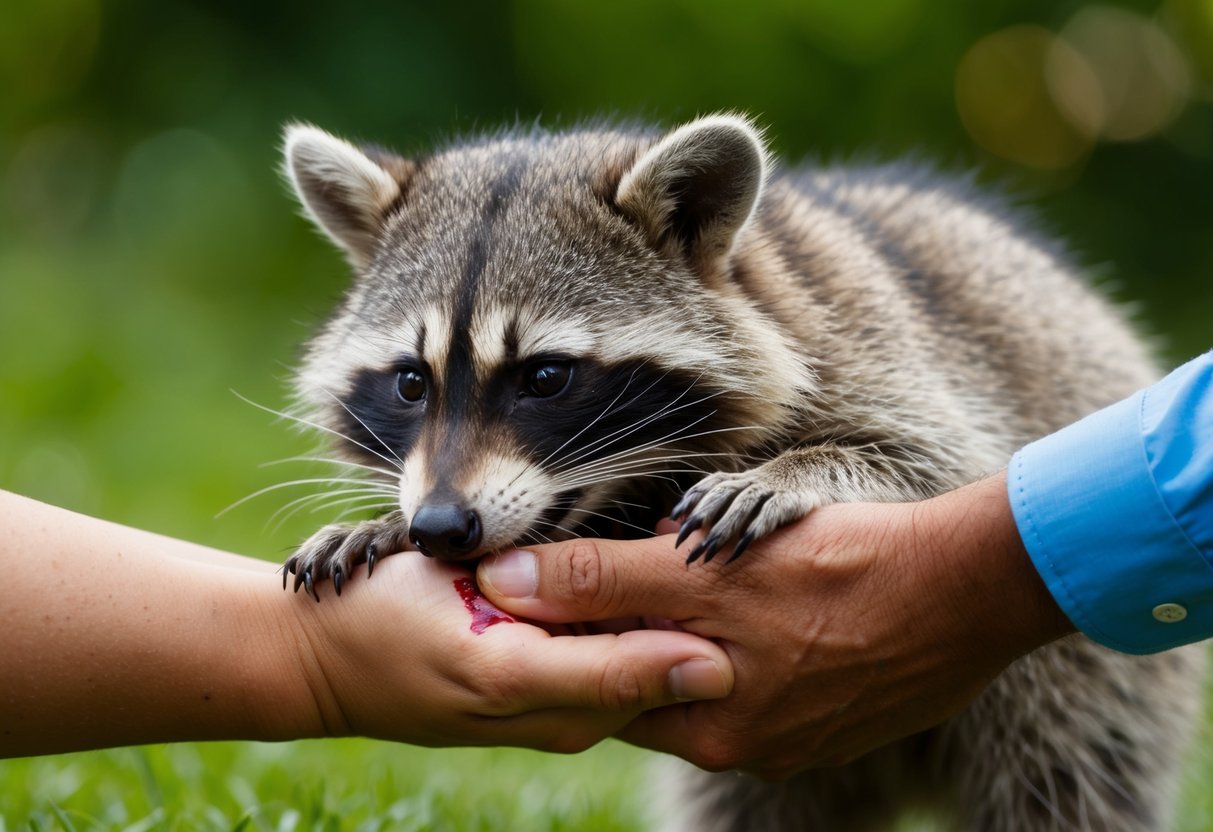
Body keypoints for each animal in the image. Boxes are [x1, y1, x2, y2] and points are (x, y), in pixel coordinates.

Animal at [278, 114, 1205, 831]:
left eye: (544, 377)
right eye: (410, 381)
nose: (440, 527)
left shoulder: (879, 348)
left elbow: (946, 459)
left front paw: (799, 471)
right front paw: (382, 522)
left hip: (1089, 688)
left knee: (1067, 780)